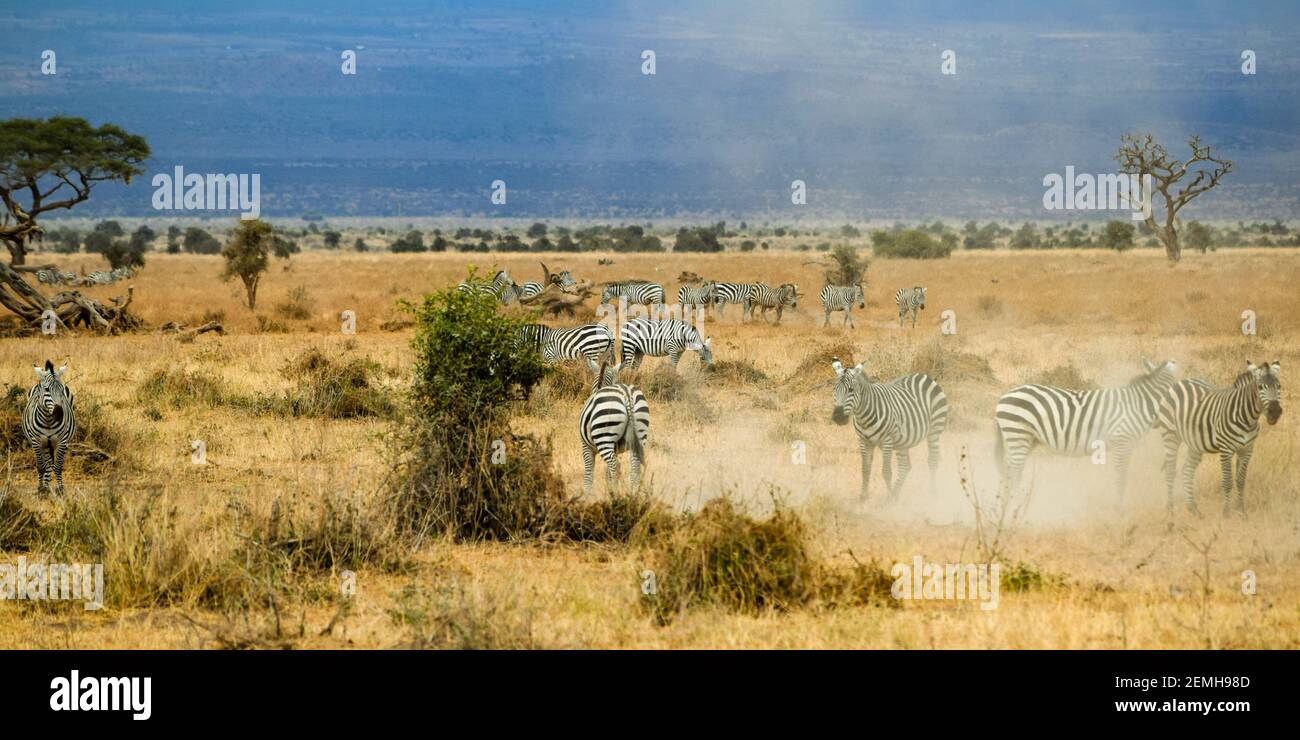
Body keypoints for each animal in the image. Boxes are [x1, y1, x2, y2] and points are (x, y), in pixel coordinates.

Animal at [23, 360, 76, 497]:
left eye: (61, 389)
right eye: (47, 389)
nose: (59, 414)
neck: (49, 421)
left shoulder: (62, 441)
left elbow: (58, 466)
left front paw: (60, 489)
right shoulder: (36, 441)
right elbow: (41, 466)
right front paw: (41, 488)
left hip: (54, 443)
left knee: (51, 463)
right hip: (45, 444)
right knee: (47, 463)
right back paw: (45, 486)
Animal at [579, 360, 650, 496]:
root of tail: (627, 396)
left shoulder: (586, 447)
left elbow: (588, 476)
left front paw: (585, 496)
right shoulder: (616, 449)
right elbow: (607, 474)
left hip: (604, 437)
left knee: (615, 466)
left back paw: (615, 494)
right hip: (640, 434)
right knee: (635, 467)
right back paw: (632, 494)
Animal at [831, 358, 948, 501]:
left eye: (851, 390)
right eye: (834, 389)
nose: (838, 417)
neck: (863, 417)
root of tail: (923, 375)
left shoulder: (886, 440)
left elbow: (886, 472)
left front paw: (888, 498)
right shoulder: (864, 441)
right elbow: (865, 469)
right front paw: (864, 496)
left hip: (935, 429)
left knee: (932, 460)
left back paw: (932, 494)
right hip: (904, 440)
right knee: (905, 466)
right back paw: (896, 493)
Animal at [994, 358, 1178, 506]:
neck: (1139, 404)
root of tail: (1003, 396)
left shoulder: (1127, 444)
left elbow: (1122, 475)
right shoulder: (1121, 440)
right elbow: (1121, 476)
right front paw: (1119, 508)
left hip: (1025, 439)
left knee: (1009, 470)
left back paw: (1008, 504)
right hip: (1018, 434)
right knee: (1015, 473)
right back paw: (1015, 505)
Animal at [1156, 360, 1282, 517]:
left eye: (1279, 386)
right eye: (1260, 387)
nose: (1275, 411)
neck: (1247, 419)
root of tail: (1181, 382)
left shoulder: (1247, 450)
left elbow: (1241, 481)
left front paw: (1241, 511)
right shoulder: (1226, 449)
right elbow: (1227, 481)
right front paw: (1226, 513)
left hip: (1194, 443)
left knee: (1187, 470)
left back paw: (1193, 509)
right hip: (1170, 435)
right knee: (1170, 470)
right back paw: (1170, 510)